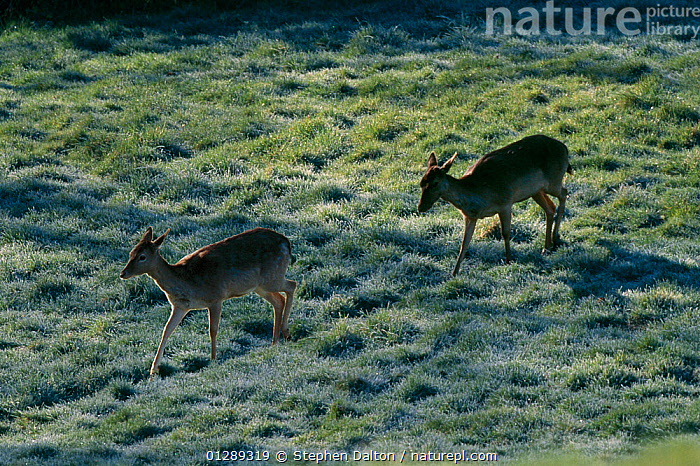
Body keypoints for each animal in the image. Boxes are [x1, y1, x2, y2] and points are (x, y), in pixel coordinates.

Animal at [120, 226, 296, 377]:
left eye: (142, 257)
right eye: (131, 253)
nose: (123, 273)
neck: (187, 281)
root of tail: (287, 243)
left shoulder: (215, 298)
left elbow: (213, 330)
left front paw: (212, 360)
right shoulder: (180, 306)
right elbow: (166, 330)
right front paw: (153, 370)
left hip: (272, 277)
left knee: (291, 285)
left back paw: (286, 332)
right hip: (260, 285)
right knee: (279, 300)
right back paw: (275, 341)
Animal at [418, 134, 572, 276]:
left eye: (435, 183)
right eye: (421, 183)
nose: (420, 207)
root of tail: (565, 148)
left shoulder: (505, 203)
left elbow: (505, 233)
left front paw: (509, 261)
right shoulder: (470, 216)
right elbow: (464, 243)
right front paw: (454, 273)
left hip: (553, 180)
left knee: (564, 193)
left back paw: (555, 237)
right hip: (536, 190)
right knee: (550, 207)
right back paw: (547, 246)